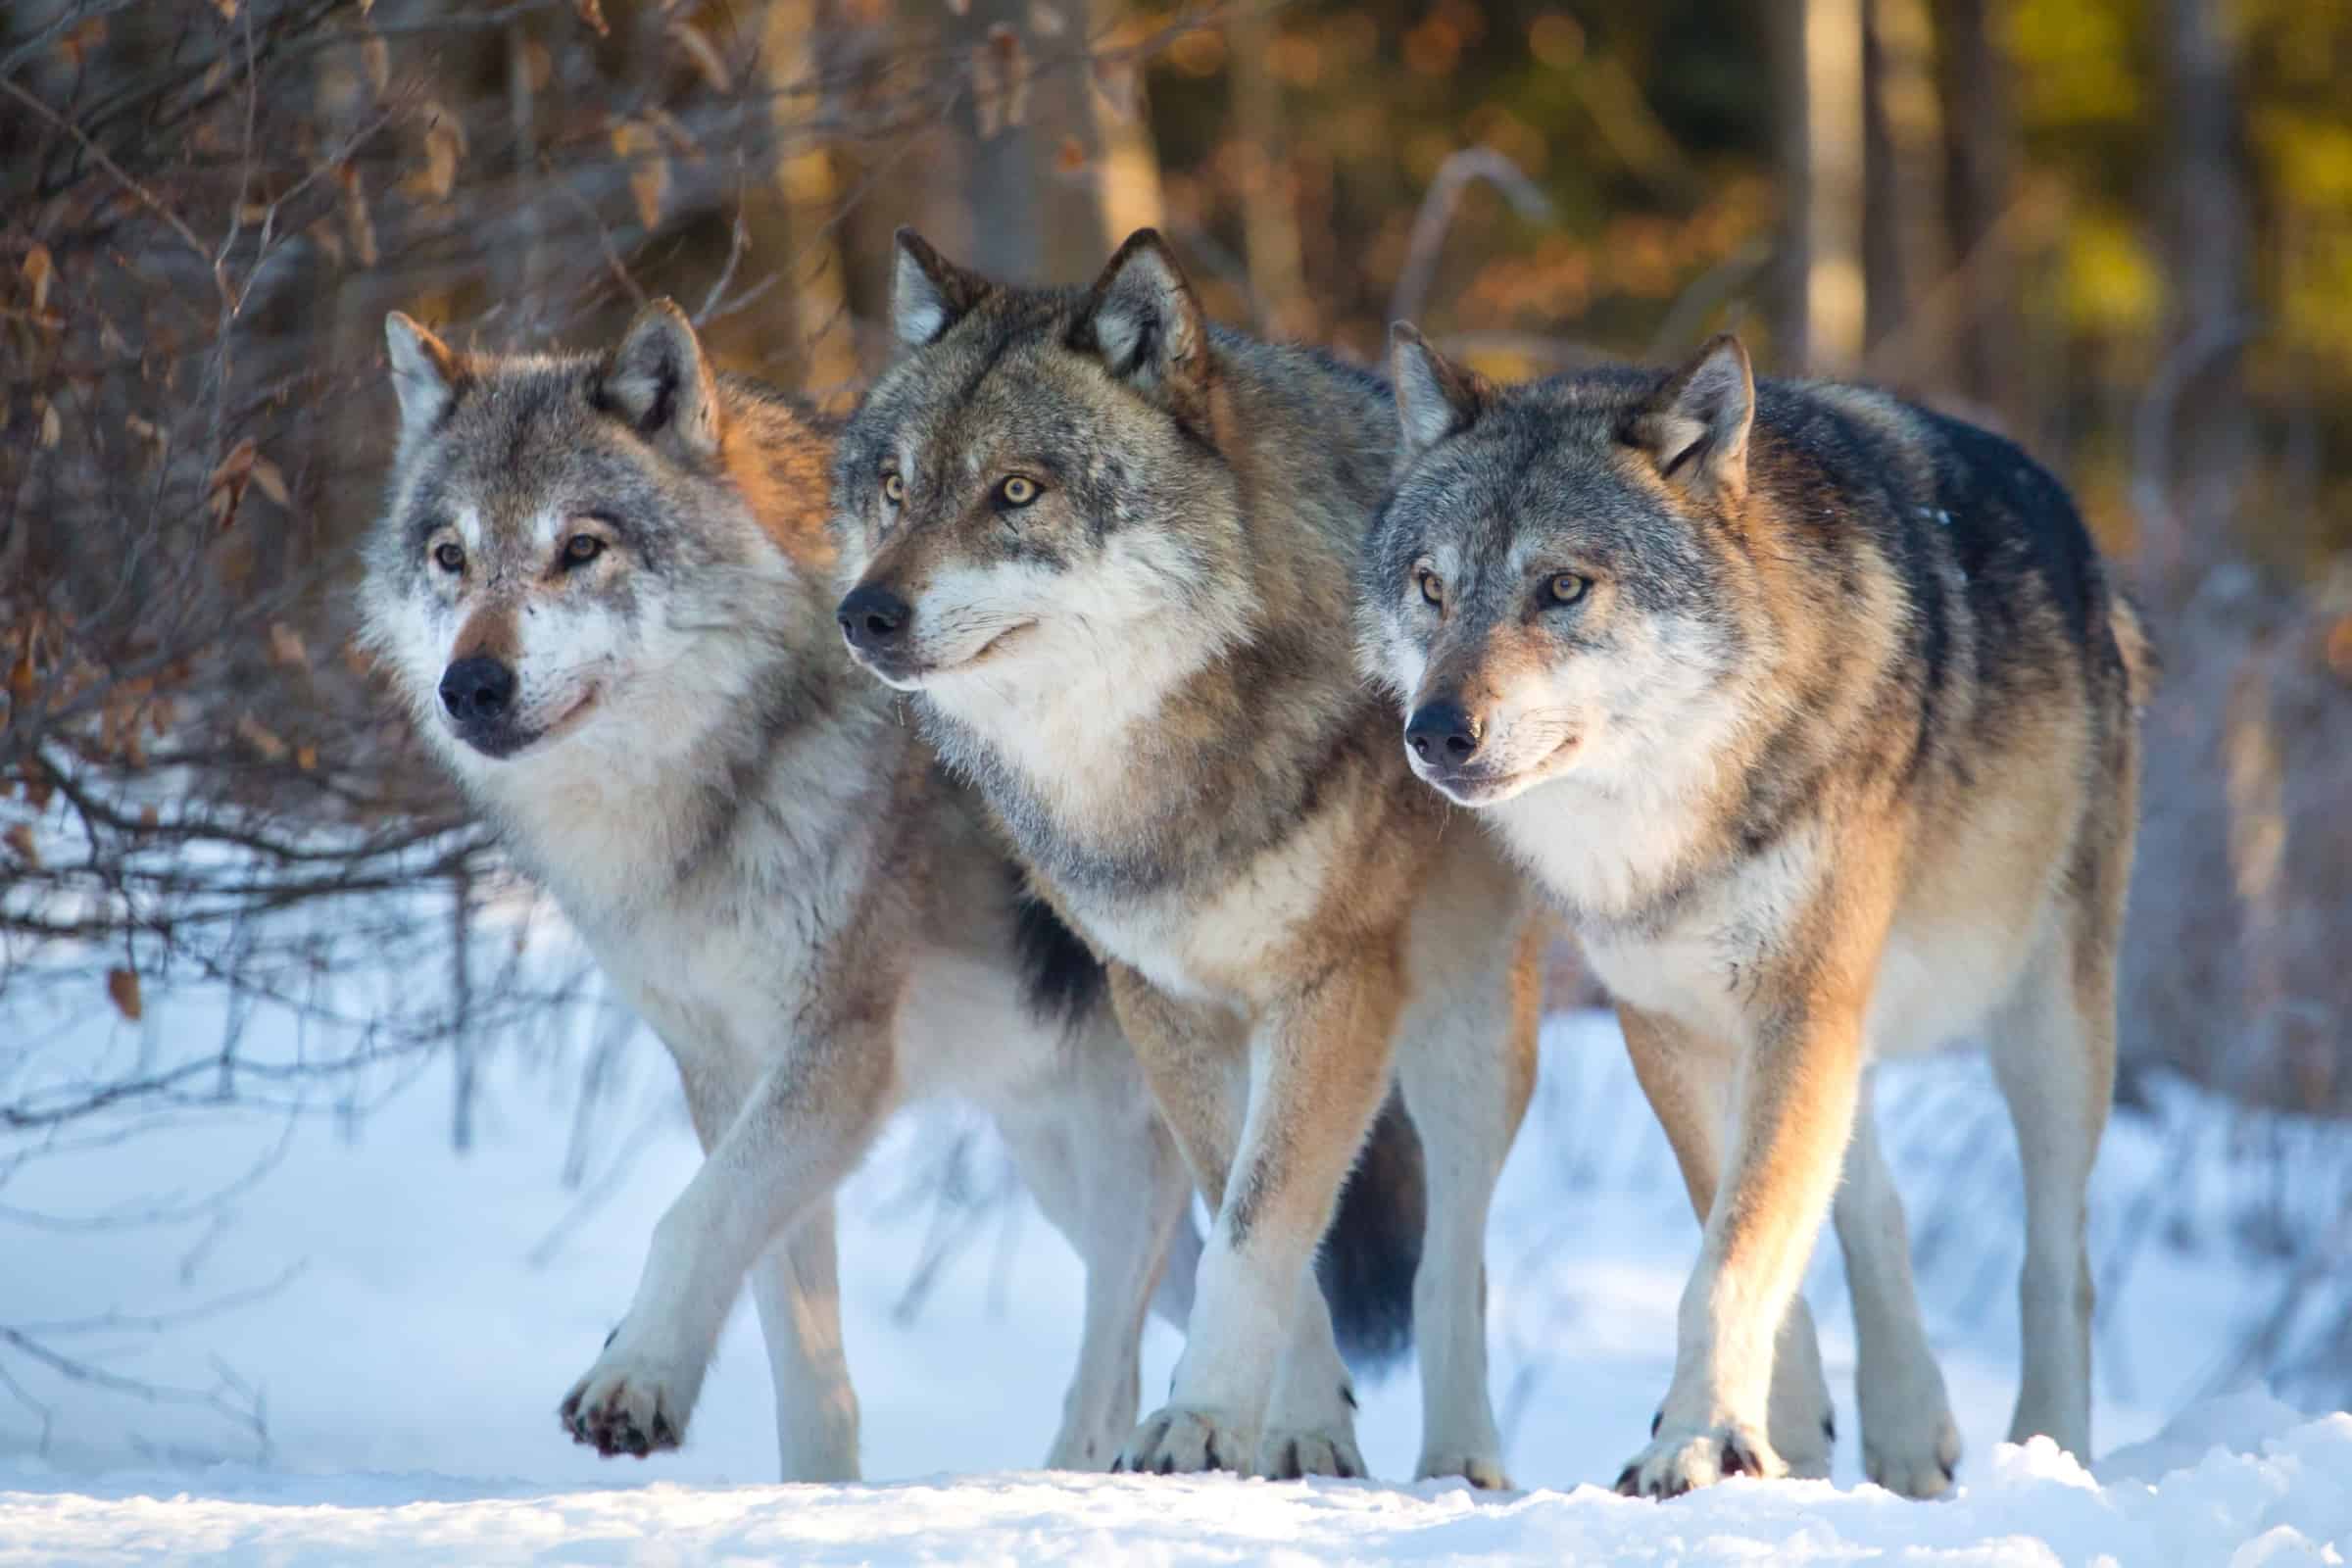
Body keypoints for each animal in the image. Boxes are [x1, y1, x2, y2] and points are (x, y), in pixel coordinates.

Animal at [359, 299, 1206, 1480]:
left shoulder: (839, 1054)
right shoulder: (728, 1070)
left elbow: (691, 1220)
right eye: (451, 556)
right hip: (1062, 1156)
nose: (471, 685)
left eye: (580, 548)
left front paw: (633, 1377)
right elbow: (797, 1343)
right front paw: (814, 1493)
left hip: (1141, 1136)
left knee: (1133, 1350)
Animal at [828, 229, 1545, 1487]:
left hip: (1463, 1030)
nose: (864, 614)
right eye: (896, 489)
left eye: (1018, 490)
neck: (1154, 767)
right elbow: (1249, 1210)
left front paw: (1201, 1417)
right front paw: (1286, 1429)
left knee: (1455, 1260)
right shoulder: (1160, 997)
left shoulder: (1334, 986)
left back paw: (1462, 1461)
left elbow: (1264, 1220)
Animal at [1363, 327, 2151, 1499]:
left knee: (2060, 1261)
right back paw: (1907, 1429)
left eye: (1563, 587)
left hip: (2043, 1024)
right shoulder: (1672, 1021)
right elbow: (1735, 1226)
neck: (1672, 813)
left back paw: (2049, 1452)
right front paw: (1771, 1427)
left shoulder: (1796, 1003)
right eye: (1431, 586)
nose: (1435, 732)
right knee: (1873, 1203)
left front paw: (1695, 1439)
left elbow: (1733, 1252)